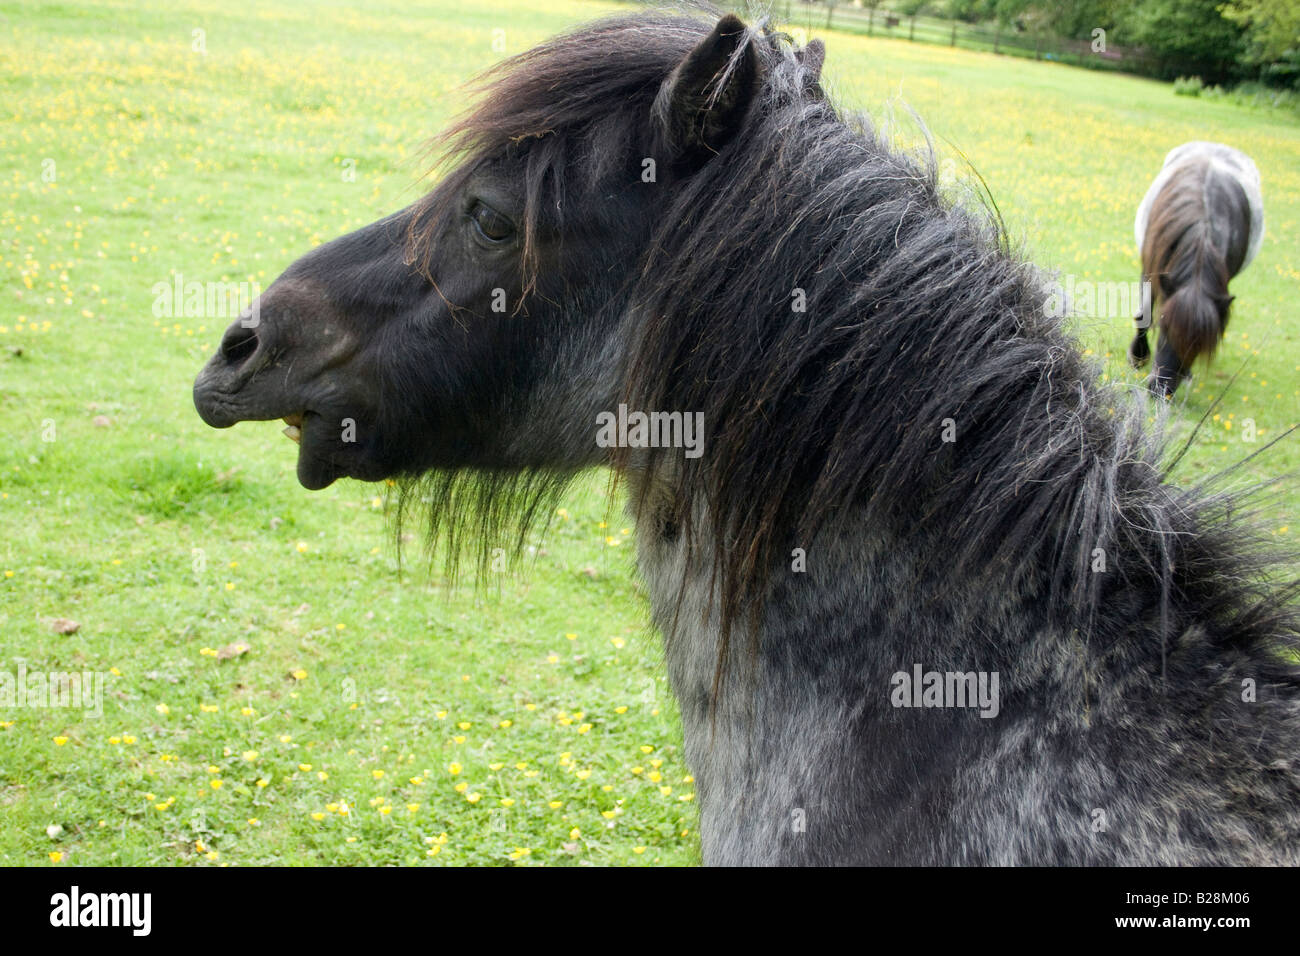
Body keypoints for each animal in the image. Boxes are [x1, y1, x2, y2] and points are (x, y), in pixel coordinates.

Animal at [1128, 141, 1264, 398]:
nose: (1161, 390)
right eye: (1164, 328)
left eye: (1199, 346)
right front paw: (1137, 356)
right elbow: (1144, 315)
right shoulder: (1150, 270)